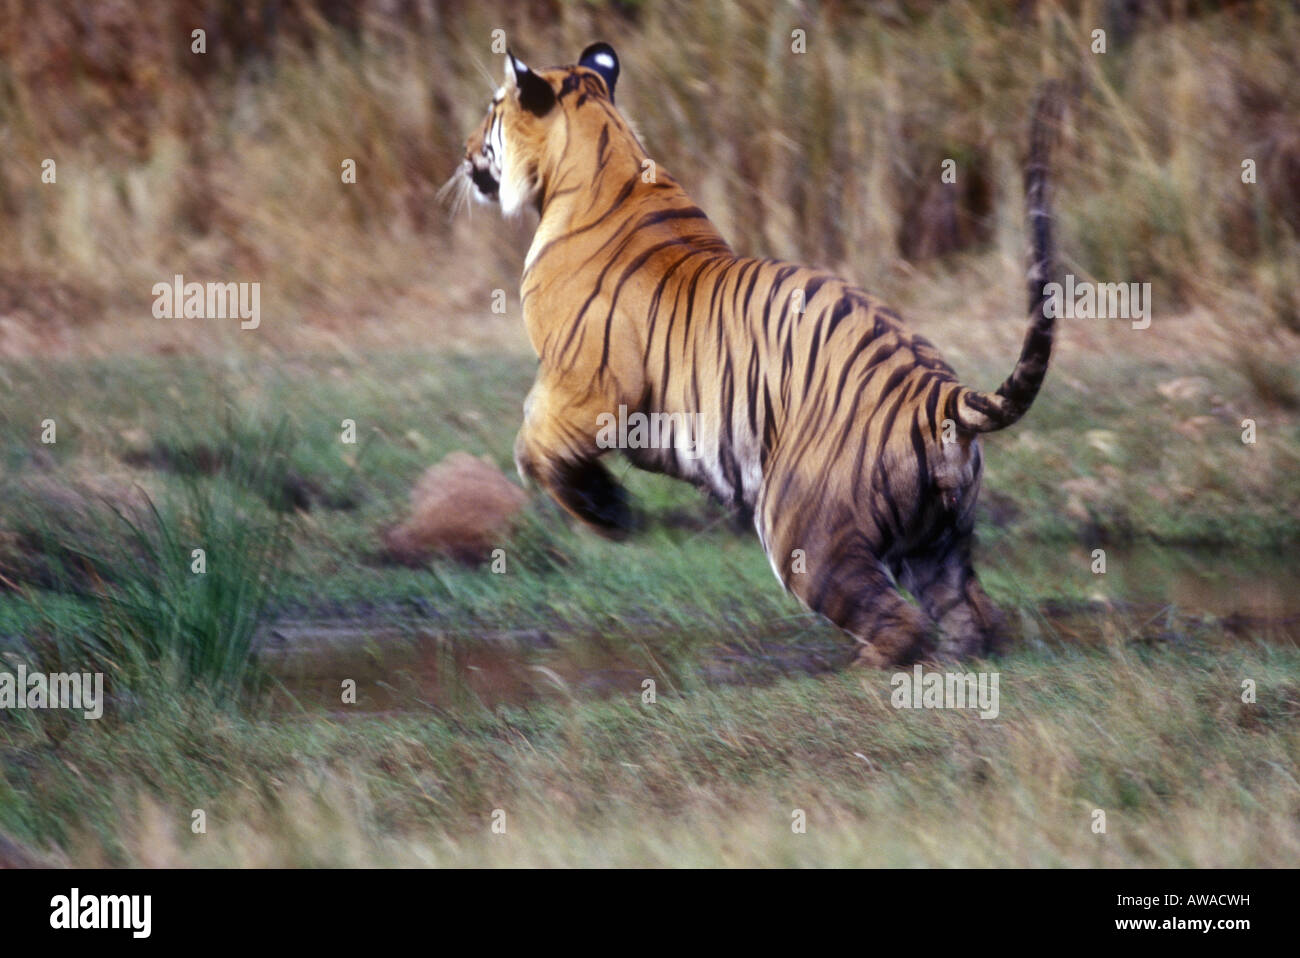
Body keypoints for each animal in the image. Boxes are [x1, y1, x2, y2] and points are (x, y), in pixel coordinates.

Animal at [448, 42, 1062, 667]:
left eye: (493, 109)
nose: (466, 151)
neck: (605, 147)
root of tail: (939, 392)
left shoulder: (588, 385)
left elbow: (532, 443)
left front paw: (610, 515)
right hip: (938, 543)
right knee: (976, 614)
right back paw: (960, 660)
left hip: (803, 528)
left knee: (898, 621)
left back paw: (861, 665)